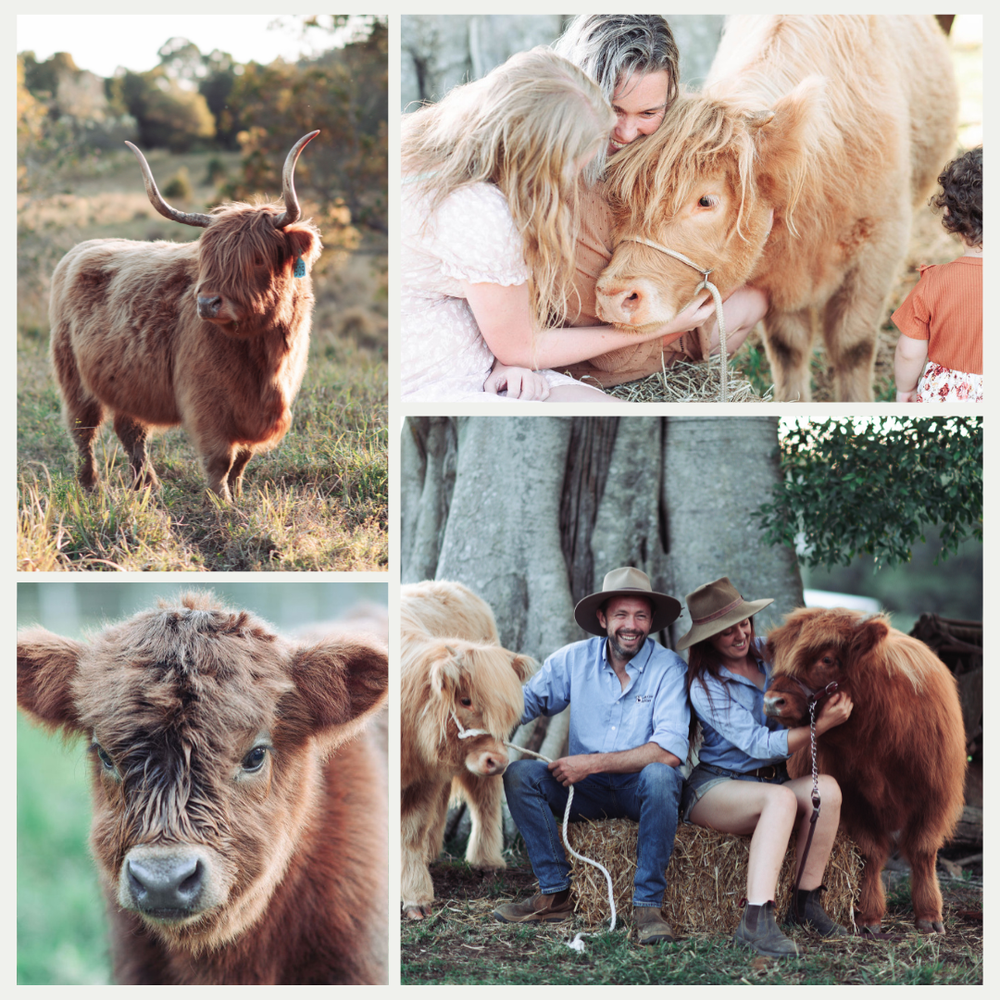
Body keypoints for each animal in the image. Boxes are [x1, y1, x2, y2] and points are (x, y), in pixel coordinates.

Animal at [49, 132, 323, 500]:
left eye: (258, 259)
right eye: (207, 257)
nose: (207, 303)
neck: (262, 353)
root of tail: (81, 248)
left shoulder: (270, 400)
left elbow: (243, 458)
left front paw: (237, 494)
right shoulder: (206, 401)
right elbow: (220, 458)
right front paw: (222, 503)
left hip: (126, 377)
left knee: (130, 429)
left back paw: (146, 484)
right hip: (73, 376)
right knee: (84, 429)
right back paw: (91, 485)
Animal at [400, 580, 535, 920]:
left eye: (506, 712)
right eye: (465, 700)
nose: (497, 760)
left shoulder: (422, 779)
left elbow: (410, 832)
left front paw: (415, 898)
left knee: (484, 799)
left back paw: (486, 861)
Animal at [595, 15, 958, 401]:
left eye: (706, 200)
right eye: (619, 198)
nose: (614, 296)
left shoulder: (880, 247)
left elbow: (852, 345)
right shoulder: (779, 277)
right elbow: (788, 347)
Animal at [762, 607, 966, 935]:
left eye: (827, 659)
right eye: (779, 657)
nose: (772, 702)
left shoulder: (934, 798)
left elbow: (922, 851)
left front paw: (929, 915)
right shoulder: (855, 802)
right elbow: (870, 853)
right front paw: (868, 916)